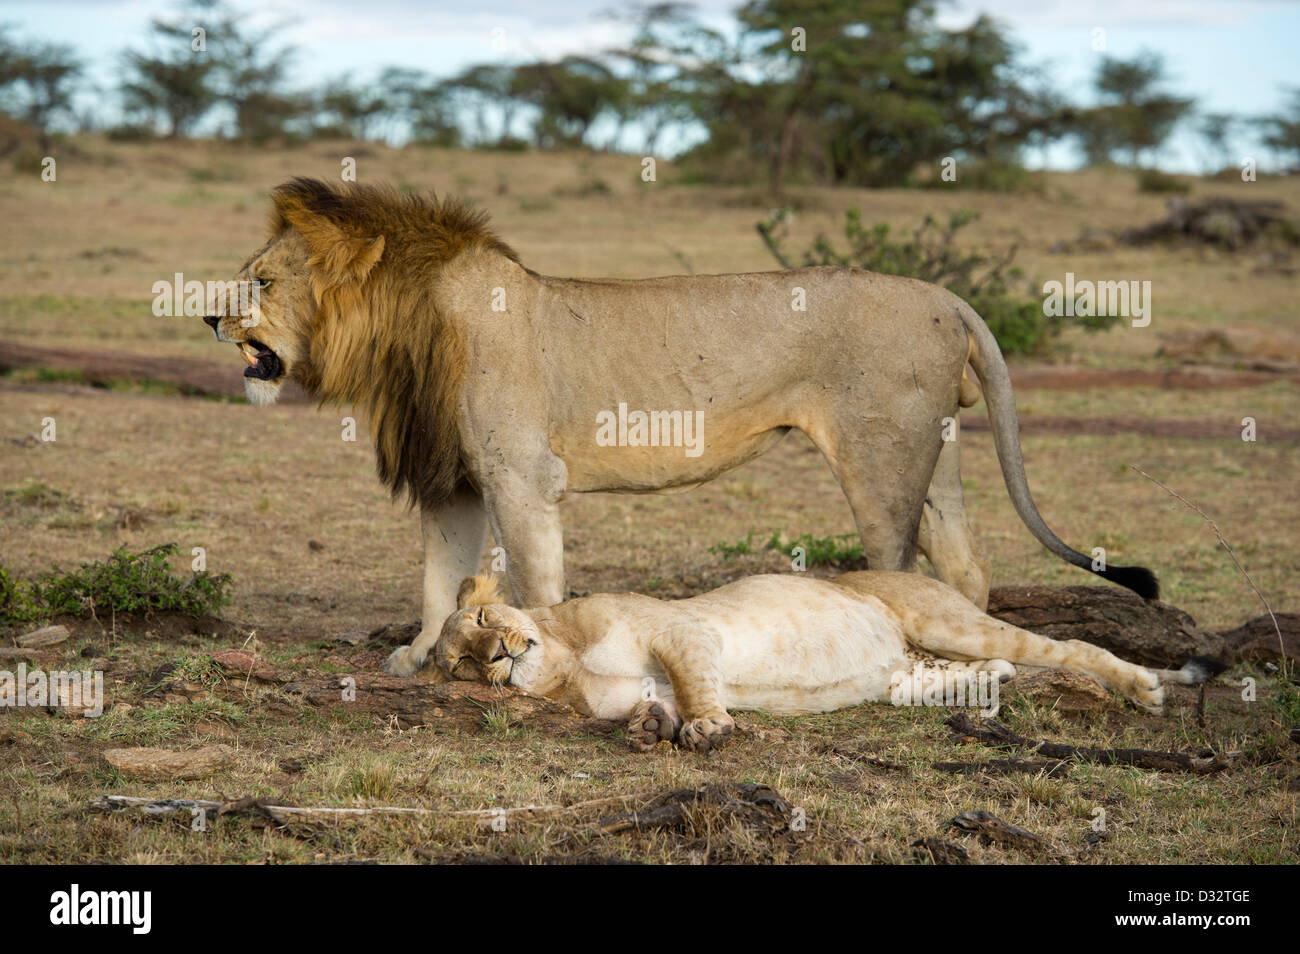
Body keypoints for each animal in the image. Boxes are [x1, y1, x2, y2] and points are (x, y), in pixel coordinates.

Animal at [202, 178, 1157, 679]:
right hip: (938, 449)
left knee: (898, 565)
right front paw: (419, 655)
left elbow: (538, 581)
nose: (209, 317)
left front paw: (545, 655)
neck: (406, 329)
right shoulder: (456, 480)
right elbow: (439, 577)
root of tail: (946, 295)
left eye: (261, 281)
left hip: (879, 456)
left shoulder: (521, 473)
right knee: (964, 562)